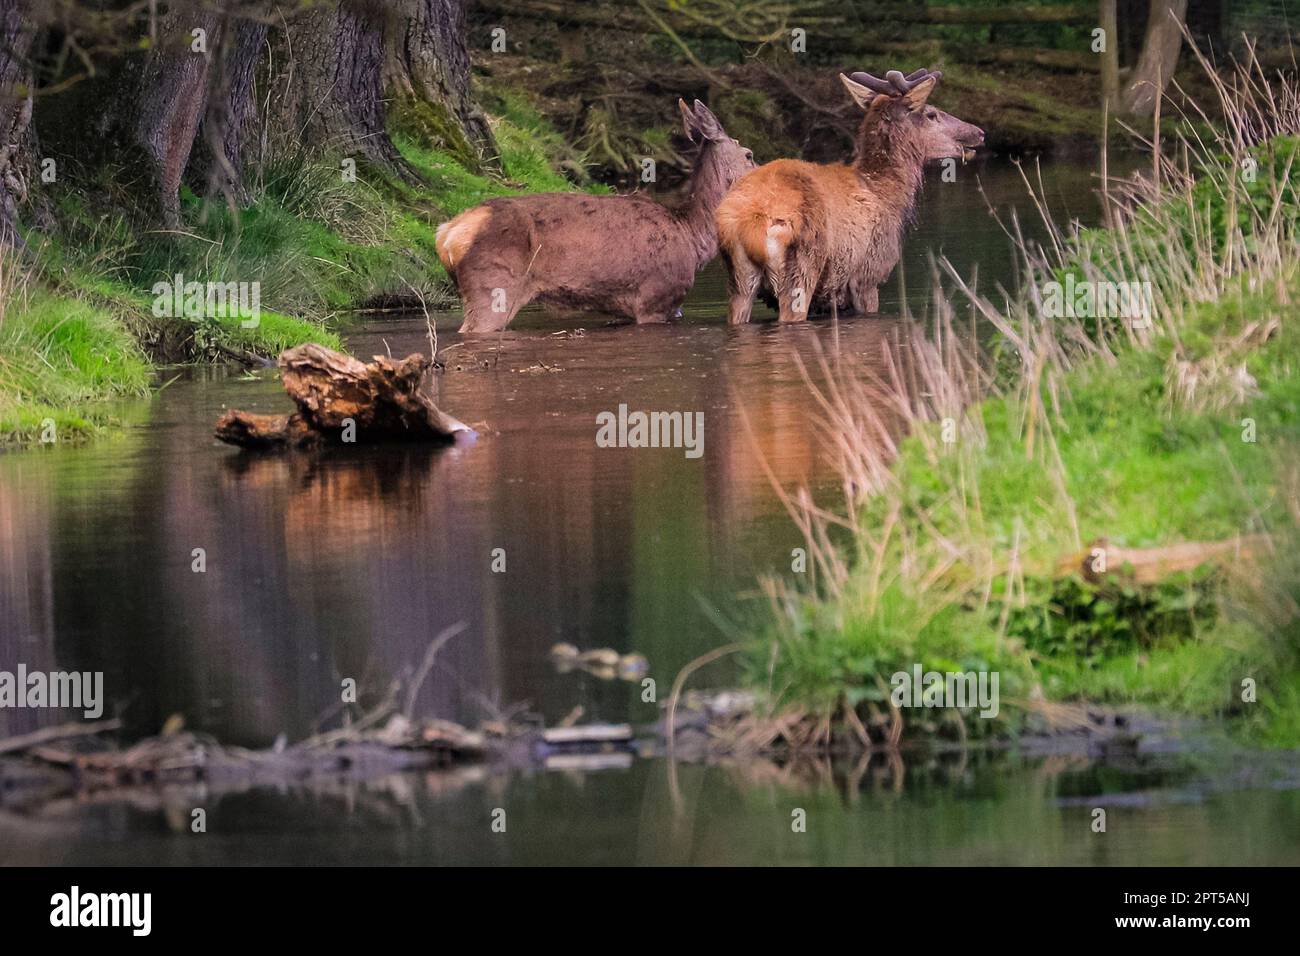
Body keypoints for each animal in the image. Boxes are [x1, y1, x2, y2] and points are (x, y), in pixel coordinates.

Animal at [714, 68, 984, 324]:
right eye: (931, 113)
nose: (979, 132)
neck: (888, 195)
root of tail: (750, 221)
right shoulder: (868, 275)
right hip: (801, 268)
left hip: (740, 280)